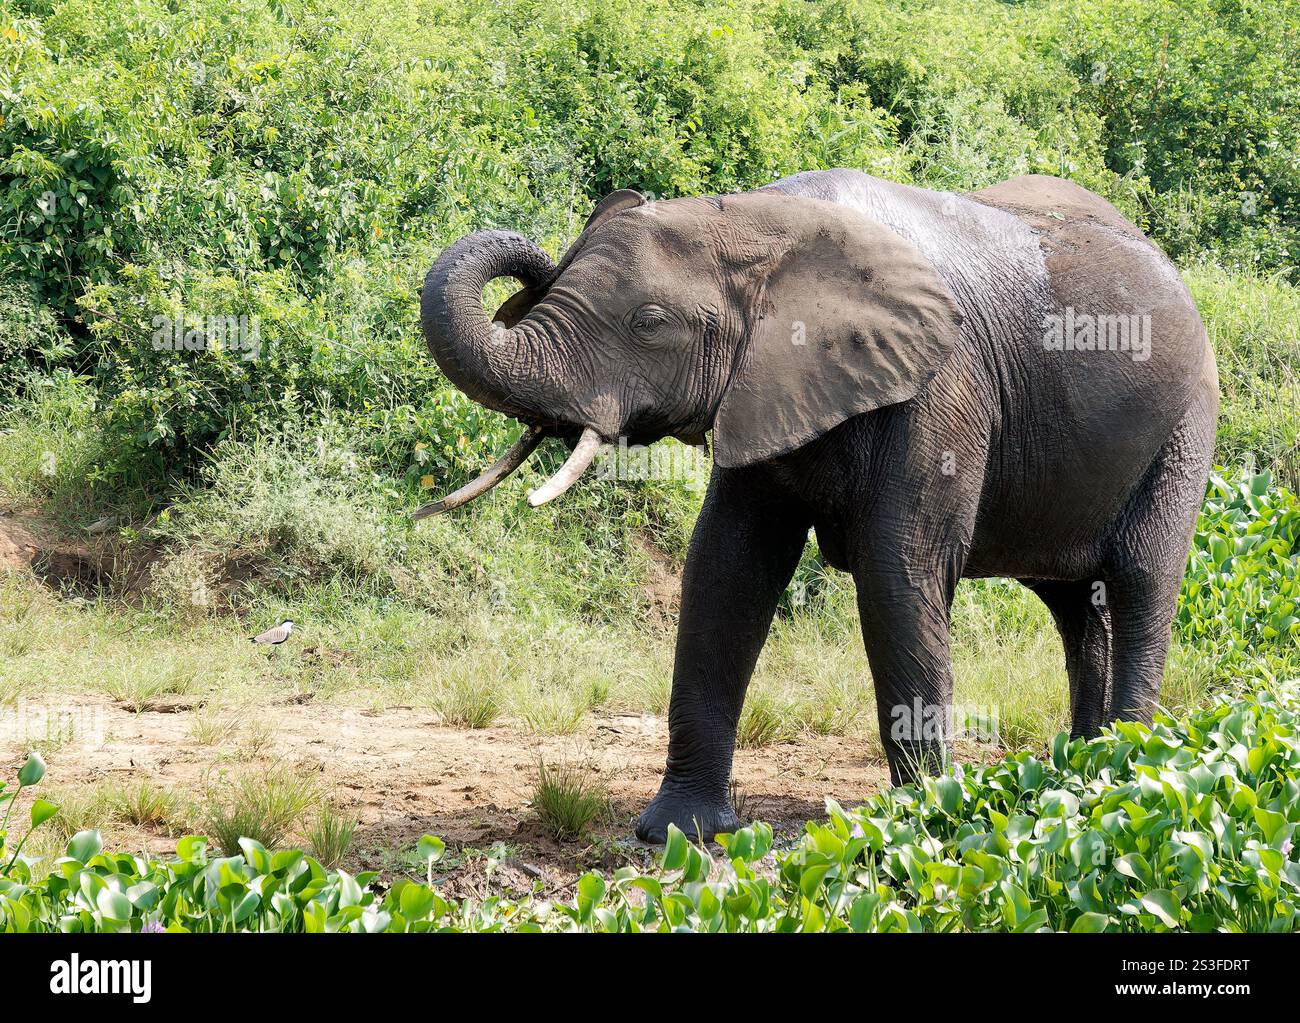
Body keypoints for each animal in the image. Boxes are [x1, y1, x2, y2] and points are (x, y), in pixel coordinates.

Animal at [417, 169, 1218, 843]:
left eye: (649, 322)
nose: (536, 262)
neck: (752, 219)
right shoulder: (760, 388)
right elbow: (725, 569)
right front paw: (680, 832)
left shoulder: (938, 384)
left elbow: (897, 575)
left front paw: (923, 822)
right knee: (1074, 603)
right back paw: (1080, 768)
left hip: (1186, 425)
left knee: (1142, 582)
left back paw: (1124, 776)